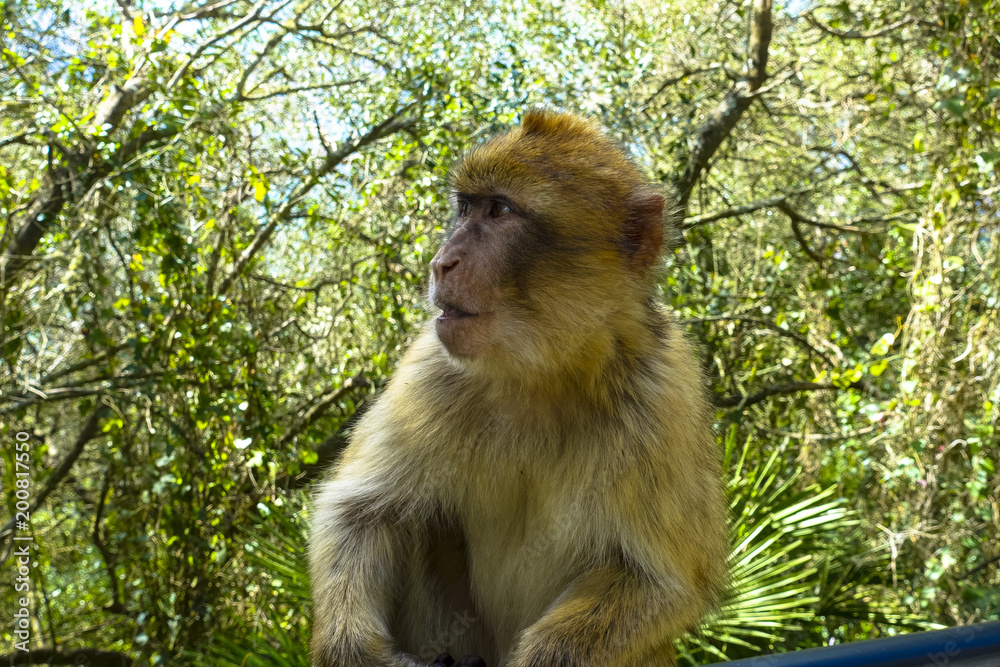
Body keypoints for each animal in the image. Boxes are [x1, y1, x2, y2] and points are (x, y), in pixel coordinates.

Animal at [309, 109, 728, 667]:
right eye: (466, 208)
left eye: (500, 210)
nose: (441, 263)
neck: (542, 374)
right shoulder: (430, 369)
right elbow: (362, 514)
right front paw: (354, 652)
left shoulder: (665, 396)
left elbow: (659, 582)